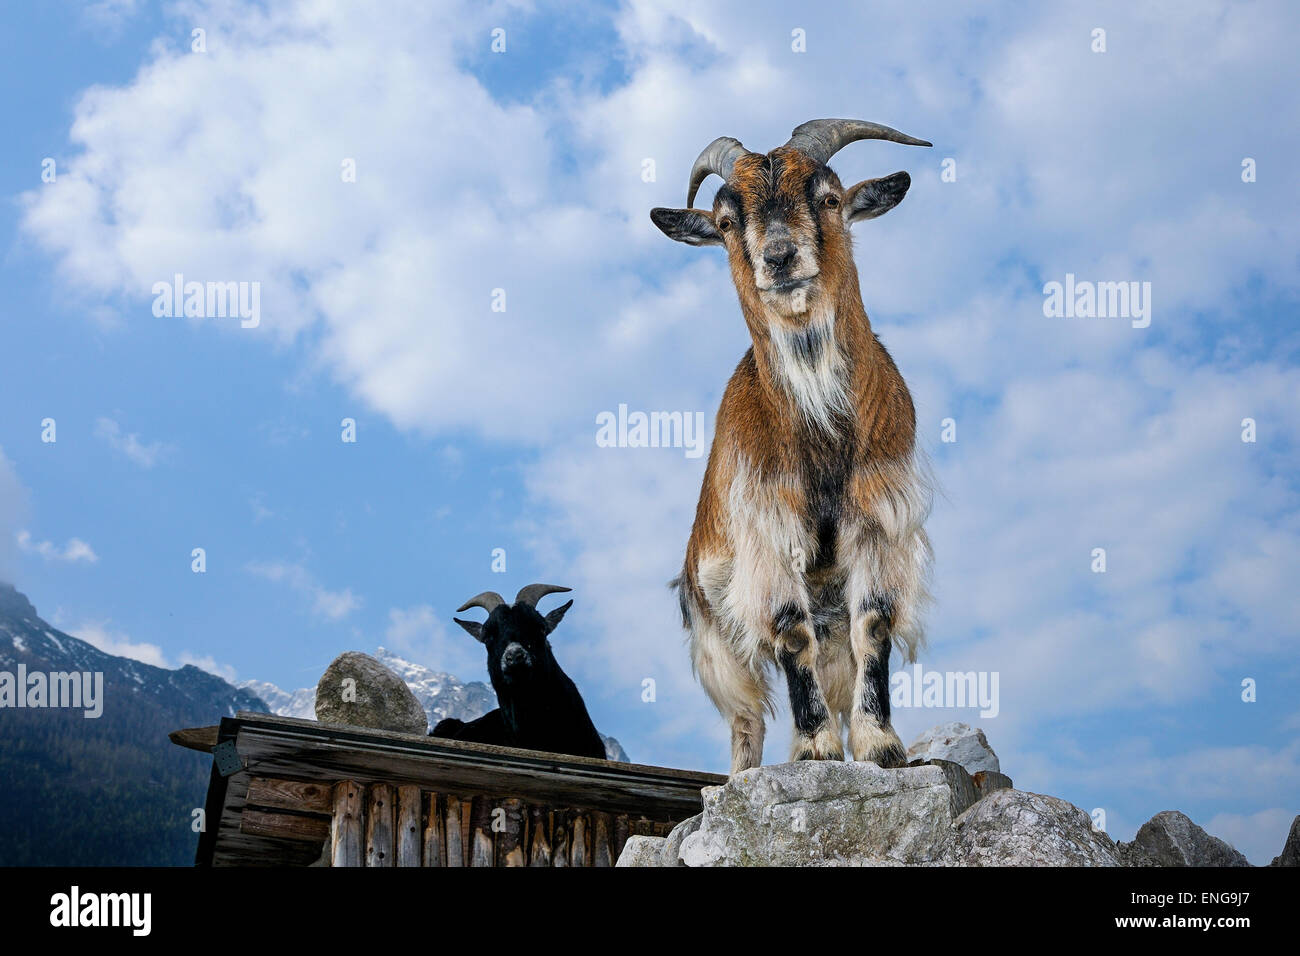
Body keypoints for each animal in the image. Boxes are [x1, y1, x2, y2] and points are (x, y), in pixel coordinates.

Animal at [650, 118, 934, 774]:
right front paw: (814, 749)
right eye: (727, 222)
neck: (819, 436)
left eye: (828, 199)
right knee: (745, 718)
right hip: (716, 640)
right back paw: (740, 776)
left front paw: (880, 746)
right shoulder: (767, 530)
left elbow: (874, 623)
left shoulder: (878, 519)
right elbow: (788, 630)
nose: (779, 258)